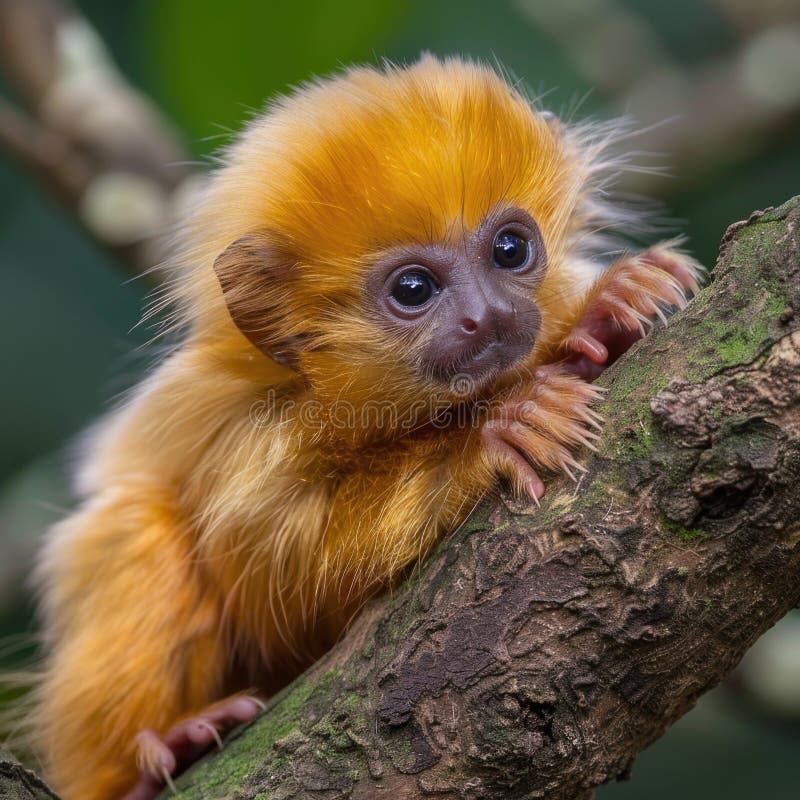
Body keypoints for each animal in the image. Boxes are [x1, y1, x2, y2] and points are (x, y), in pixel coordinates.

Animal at [29, 56, 701, 800]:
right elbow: (276, 584)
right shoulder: (256, 436)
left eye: (509, 249)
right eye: (413, 290)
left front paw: (608, 312)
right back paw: (163, 752)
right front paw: (497, 431)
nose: (489, 315)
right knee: (138, 527)